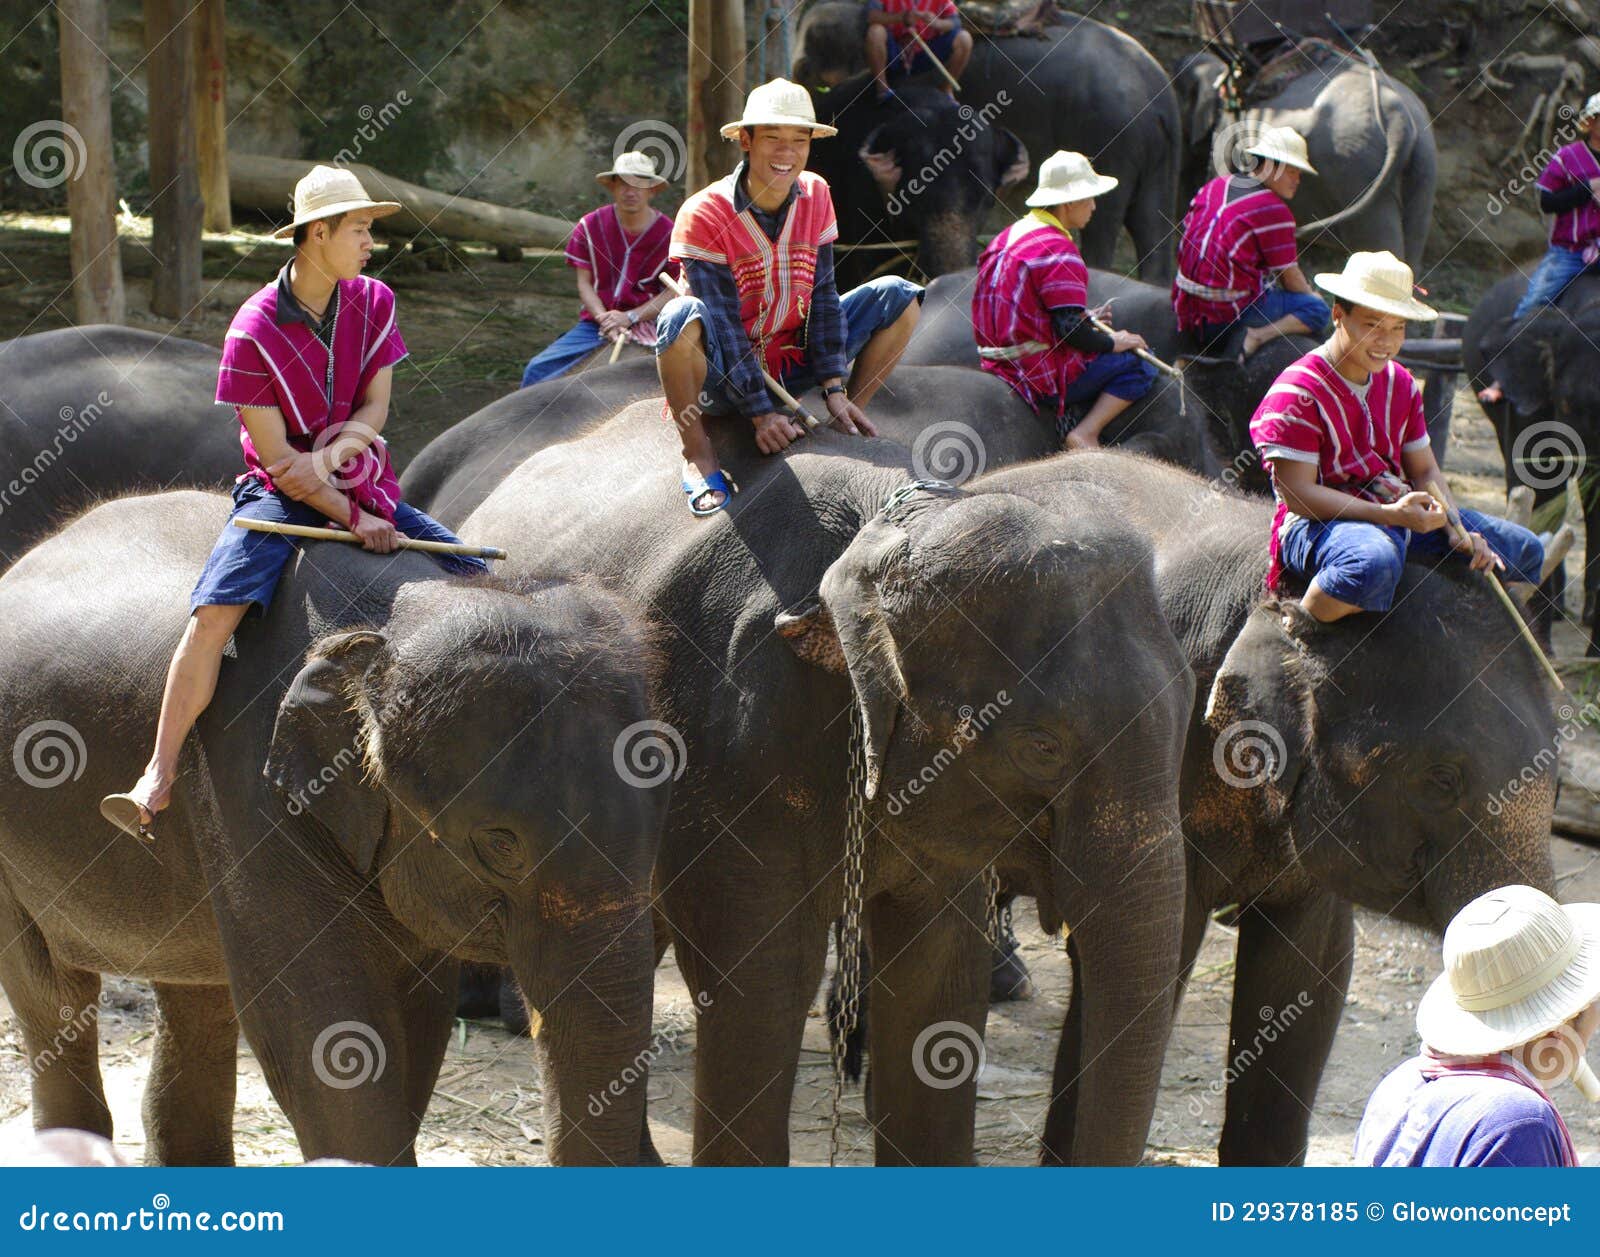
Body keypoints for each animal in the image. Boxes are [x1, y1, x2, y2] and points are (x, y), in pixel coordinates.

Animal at [0, 490, 665, 1165]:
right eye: (498, 845)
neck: (393, 618)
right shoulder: (246, 782)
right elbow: (324, 1040)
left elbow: (416, 1021)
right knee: (54, 996)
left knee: (197, 995)